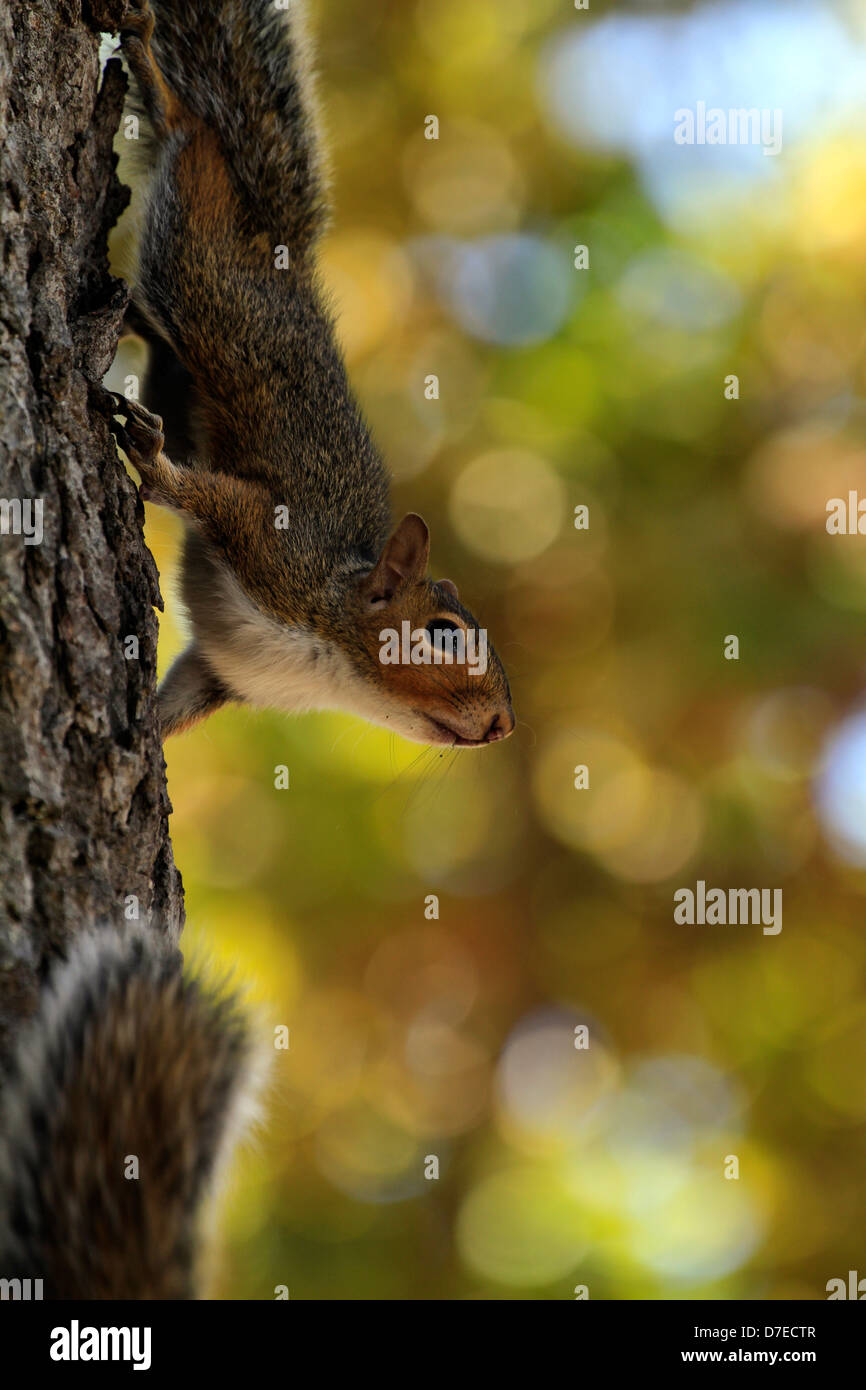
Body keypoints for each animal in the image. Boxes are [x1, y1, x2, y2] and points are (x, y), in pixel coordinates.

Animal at [109, 0, 516, 747]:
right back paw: (156, 76)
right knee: (193, 136)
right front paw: (151, 463)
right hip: (203, 274)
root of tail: (280, 250)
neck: (334, 664)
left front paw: (142, 734)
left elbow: (176, 702)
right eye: (444, 634)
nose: (505, 724)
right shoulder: (276, 547)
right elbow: (215, 498)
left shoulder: (225, 672)